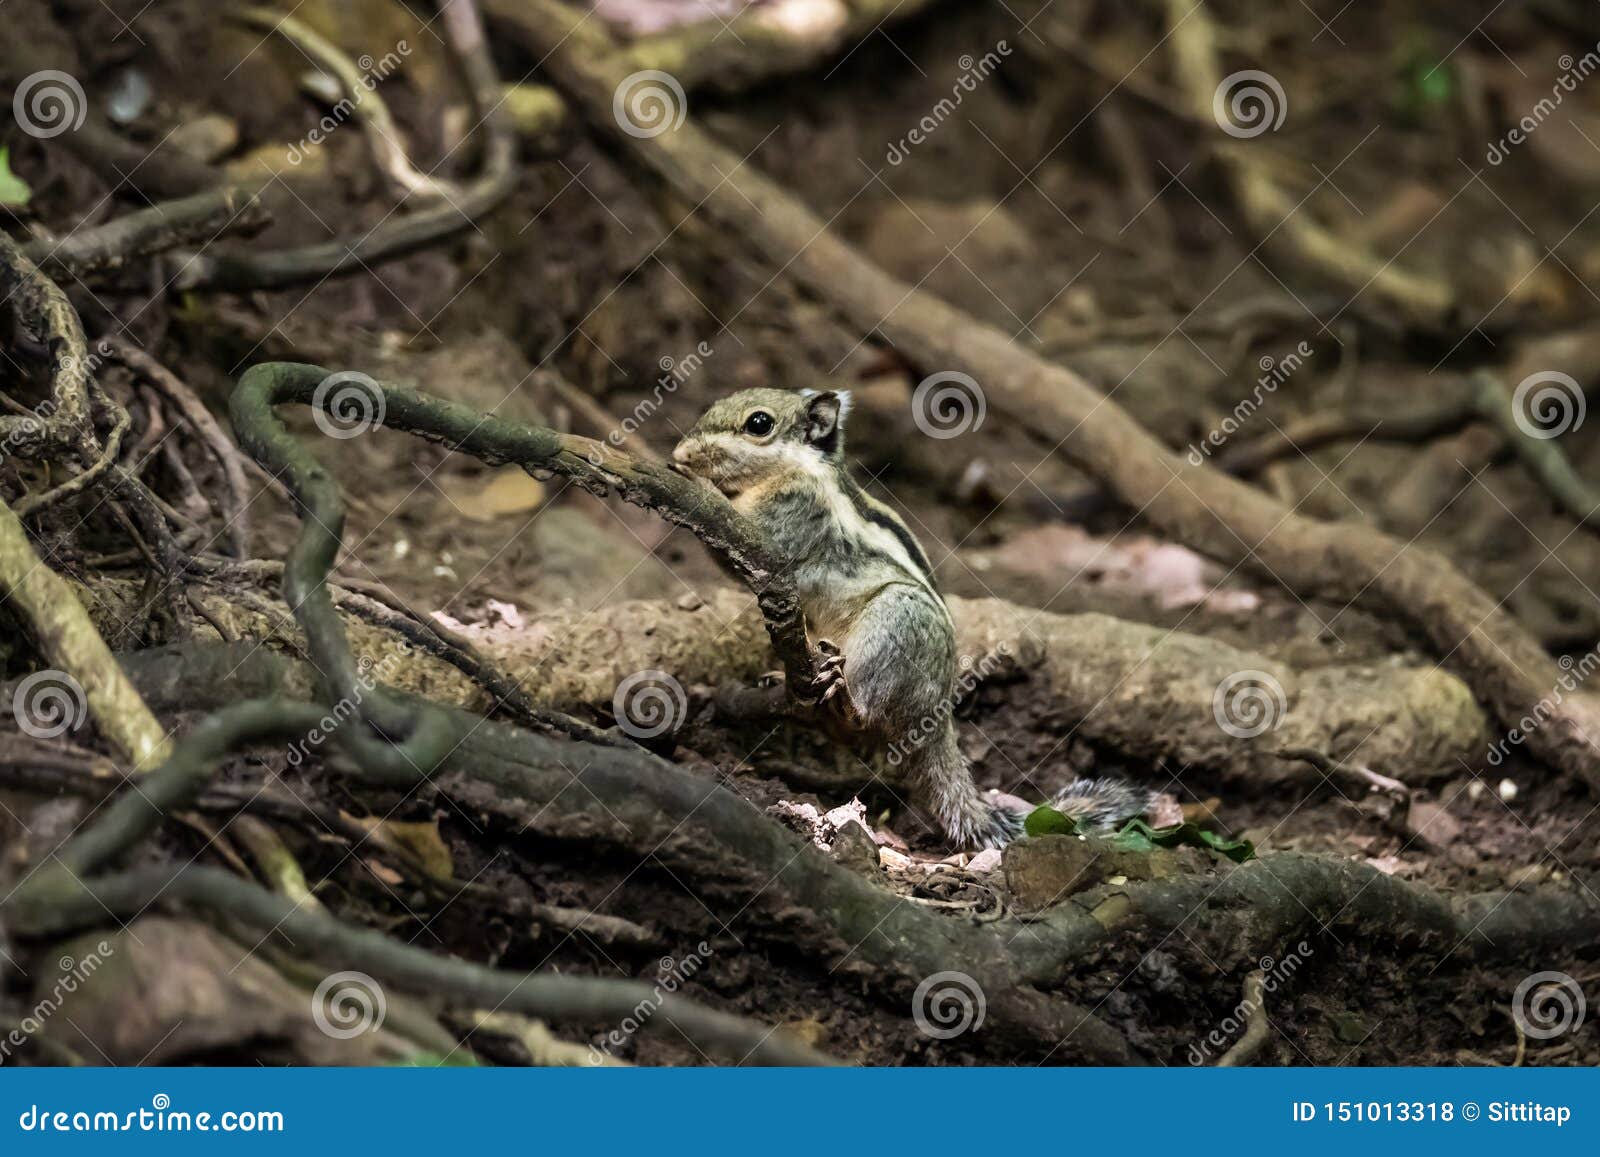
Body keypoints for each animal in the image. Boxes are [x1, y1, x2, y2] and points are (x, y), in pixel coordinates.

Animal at [672, 387, 1148, 849]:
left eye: (759, 423)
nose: (682, 451)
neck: (802, 470)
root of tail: (938, 717)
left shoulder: (790, 519)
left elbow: (749, 536)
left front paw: (694, 481)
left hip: (894, 622)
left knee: (867, 709)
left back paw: (843, 693)